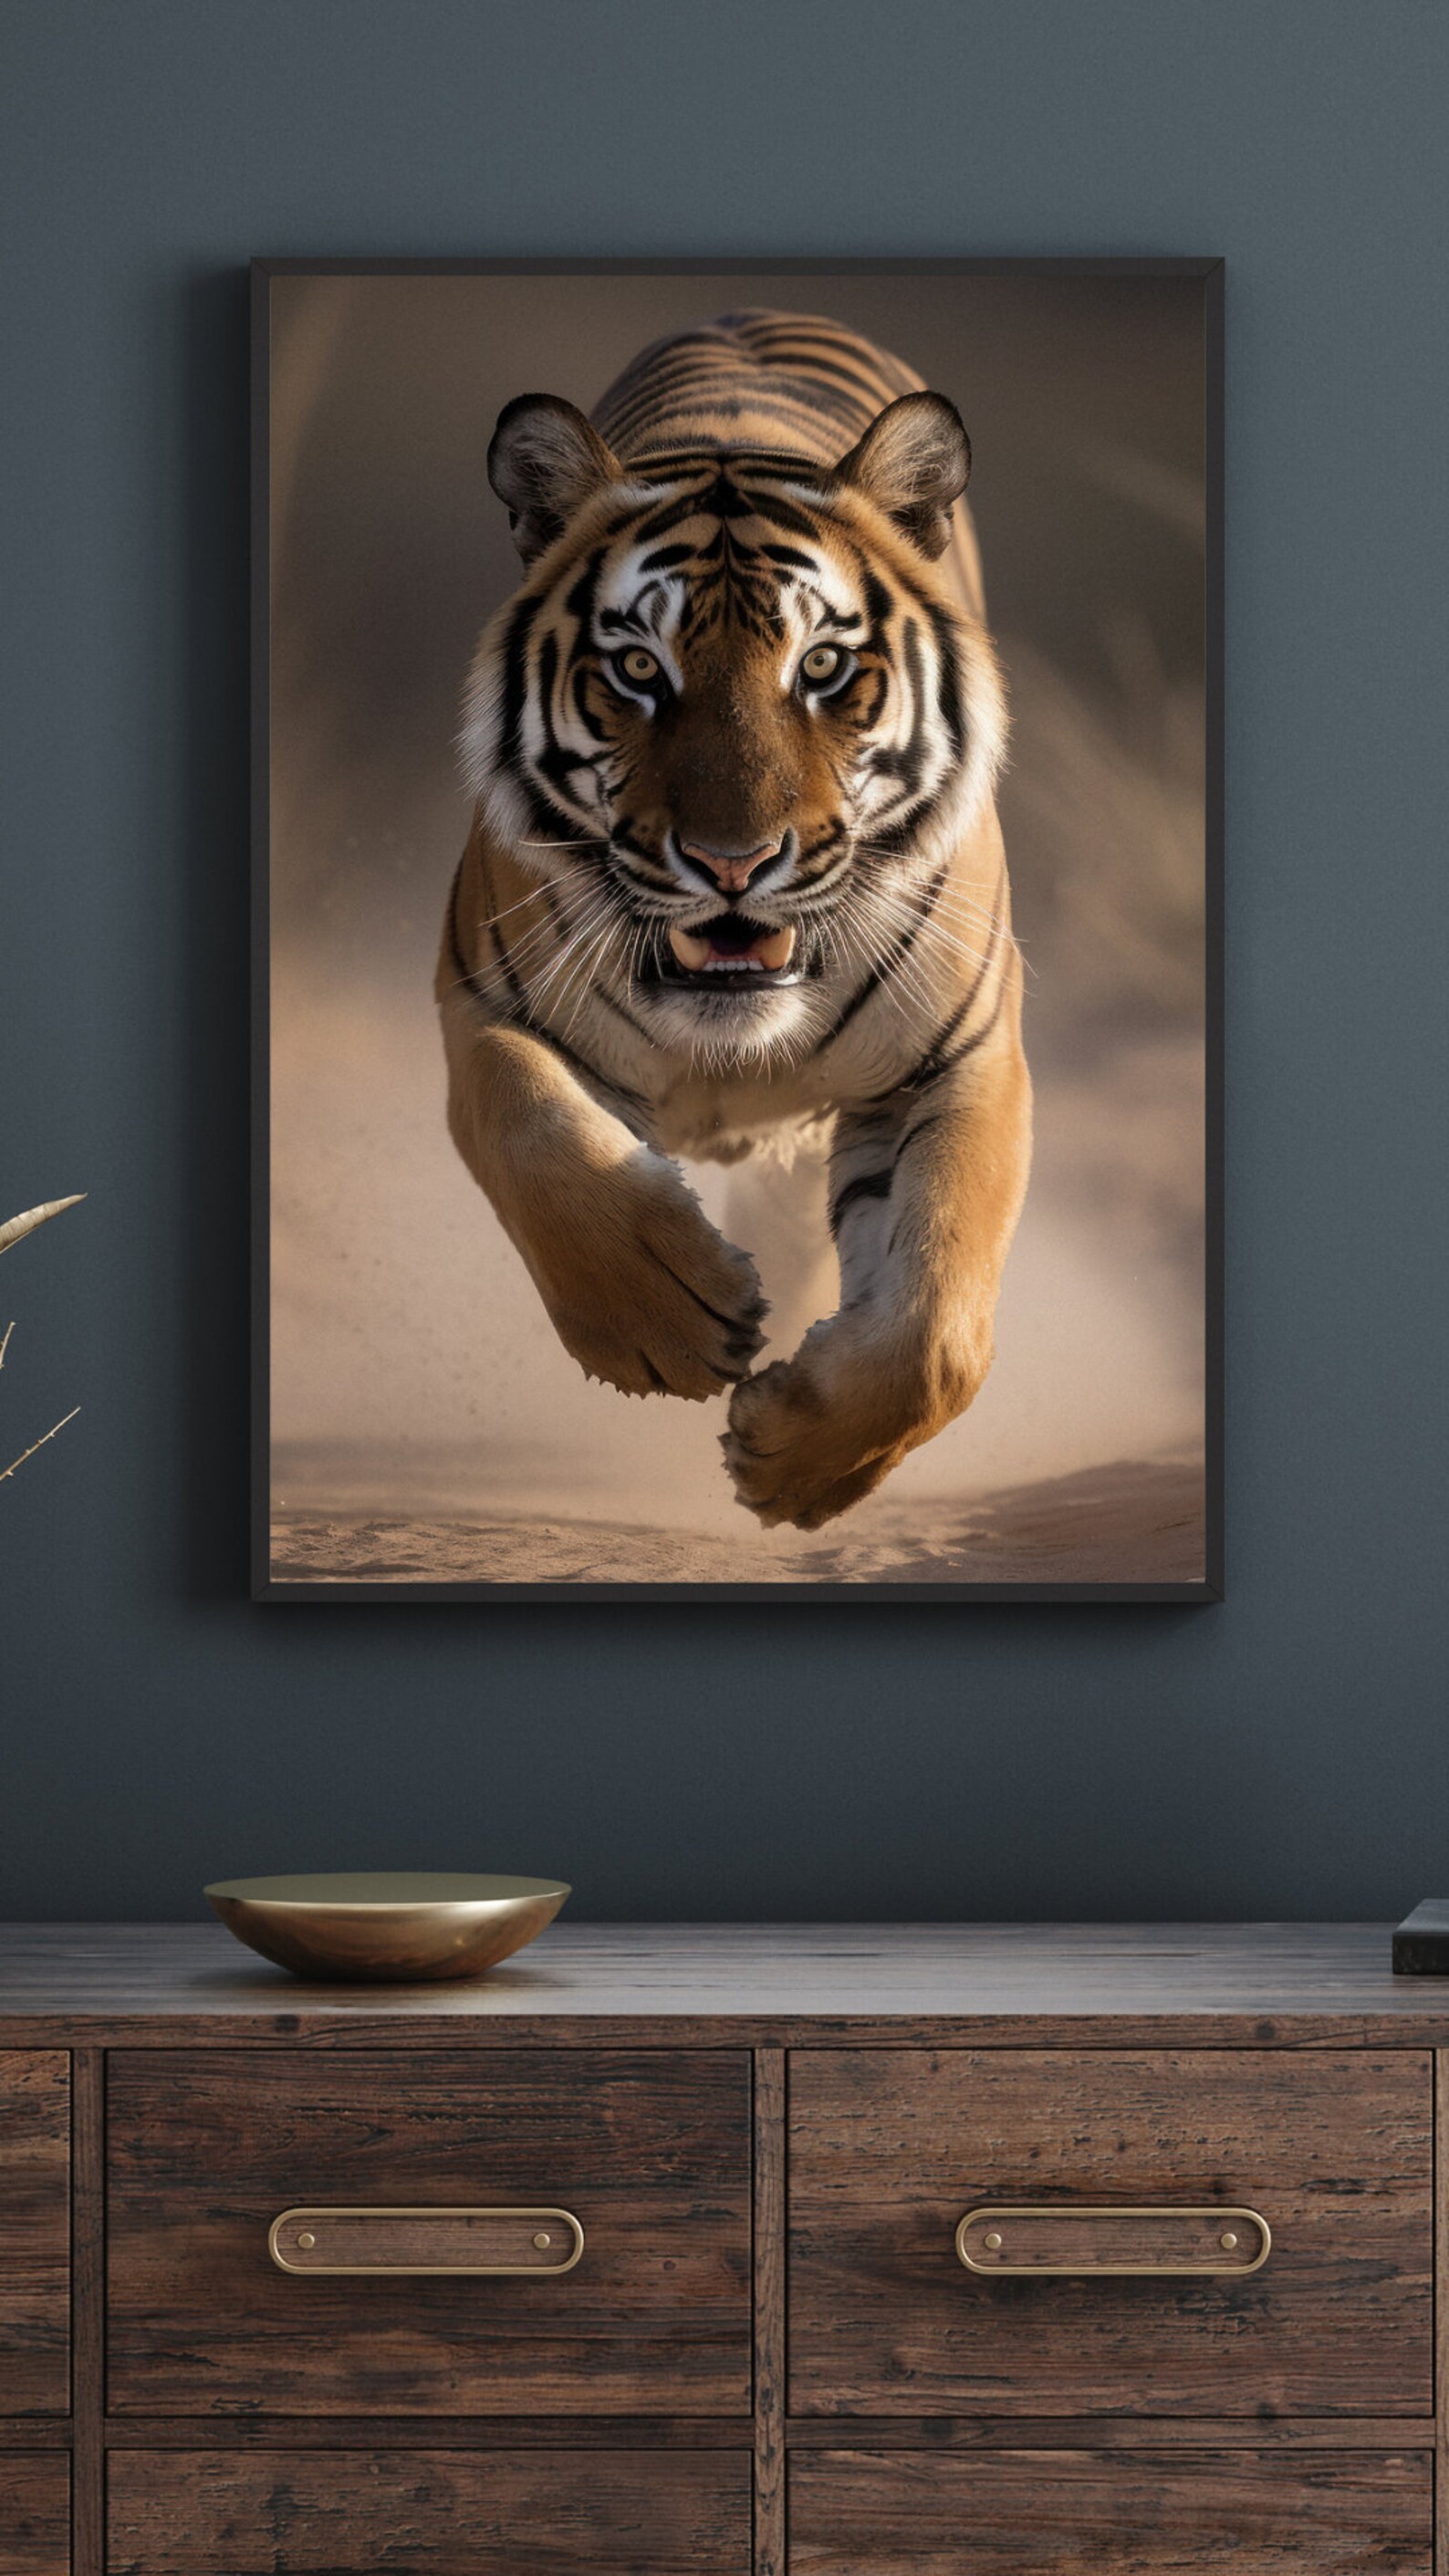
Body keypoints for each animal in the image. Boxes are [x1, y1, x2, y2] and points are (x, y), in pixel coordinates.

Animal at [437, 307, 1032, 1532]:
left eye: (823, 666)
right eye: (635, 667)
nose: (732, 864)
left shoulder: (961, 1058)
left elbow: (936, 1325)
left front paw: (793, 1464)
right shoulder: (483, 1001)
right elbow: (536, 1137)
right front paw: (667, 1324)